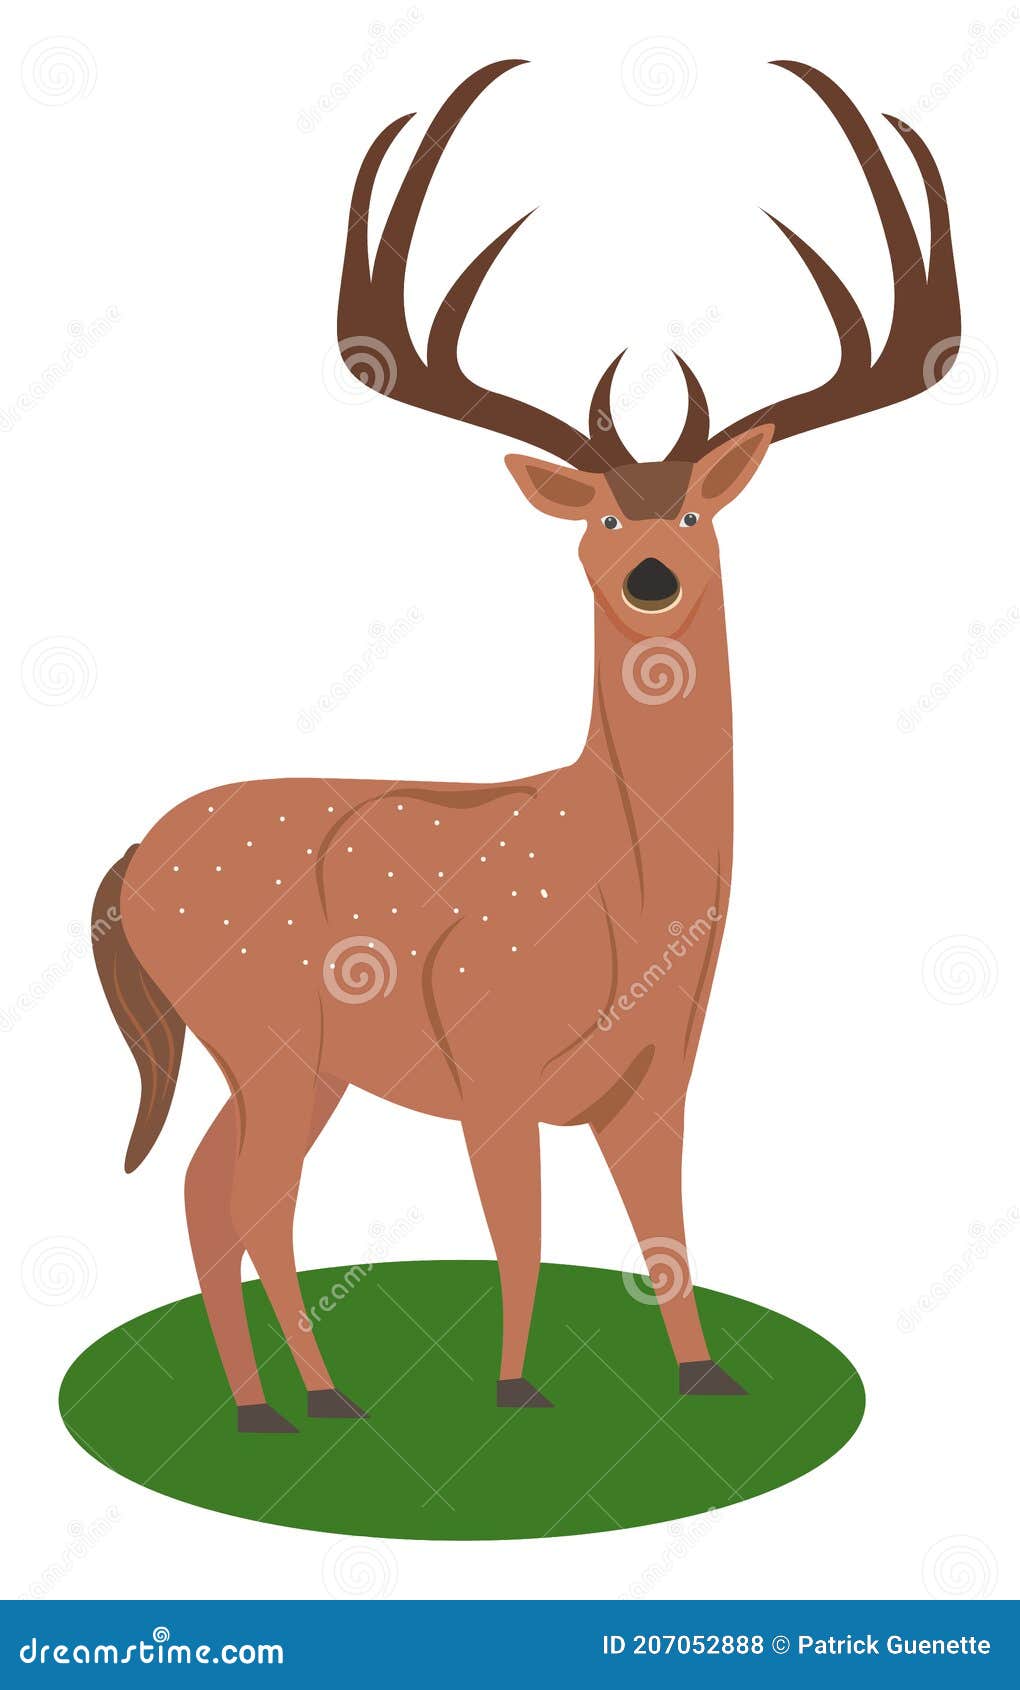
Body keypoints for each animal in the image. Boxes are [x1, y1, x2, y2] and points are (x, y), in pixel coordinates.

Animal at [93, 60, 959, 1432]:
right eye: (600, 512)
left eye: (697, 510)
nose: (653, 574)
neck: (624, 893)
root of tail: (129, 861)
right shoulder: (488, 1052)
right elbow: (521, 1230)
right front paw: (512, 1386)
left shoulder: (662, 1076)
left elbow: (663, 1225)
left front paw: (703, 1373)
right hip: (266, 1026)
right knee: (241, 1190)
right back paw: (293, 1402)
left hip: (280, 1055)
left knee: (213, 1187)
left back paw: (286, 1398)